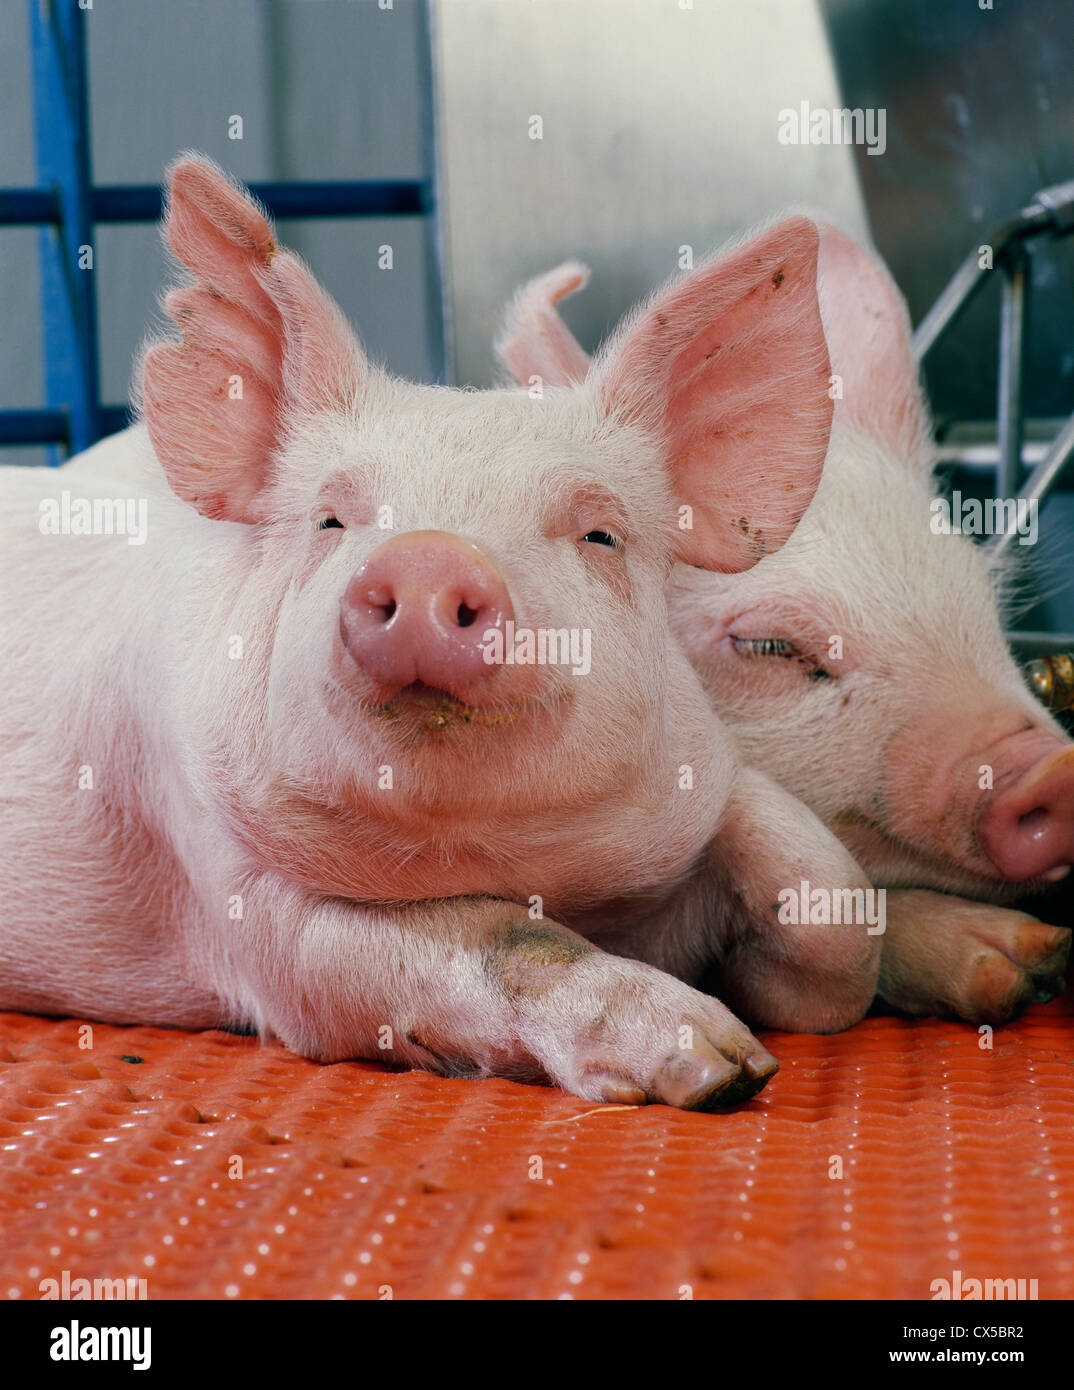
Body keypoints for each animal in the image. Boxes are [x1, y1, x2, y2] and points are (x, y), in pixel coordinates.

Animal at [0, 157, 885, 1110]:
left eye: (599, 533)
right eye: (330, 520)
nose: (428, 557)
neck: (499, 858)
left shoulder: (704, 774)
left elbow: (831, 888)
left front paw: (769, 1009)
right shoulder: (234, 887)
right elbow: (494, 940)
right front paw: (722, 1069)